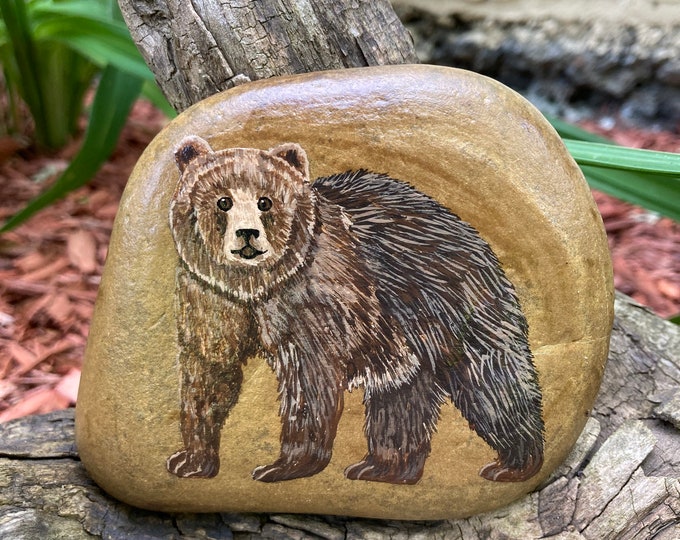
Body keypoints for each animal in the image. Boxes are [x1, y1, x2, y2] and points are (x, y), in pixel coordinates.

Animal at [166, 135, 544, 485]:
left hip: (446, 301)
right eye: (223, 200)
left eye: (265, 201)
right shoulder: (210, 297)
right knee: (401, 397)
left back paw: (513, 463)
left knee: (490, 379)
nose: (247, 234)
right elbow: (209, 368)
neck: (256, 285)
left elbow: (307, 379)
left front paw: (282, 465)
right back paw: (383, 467)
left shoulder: (314, 300)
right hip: (401, 338)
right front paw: (190, 459)